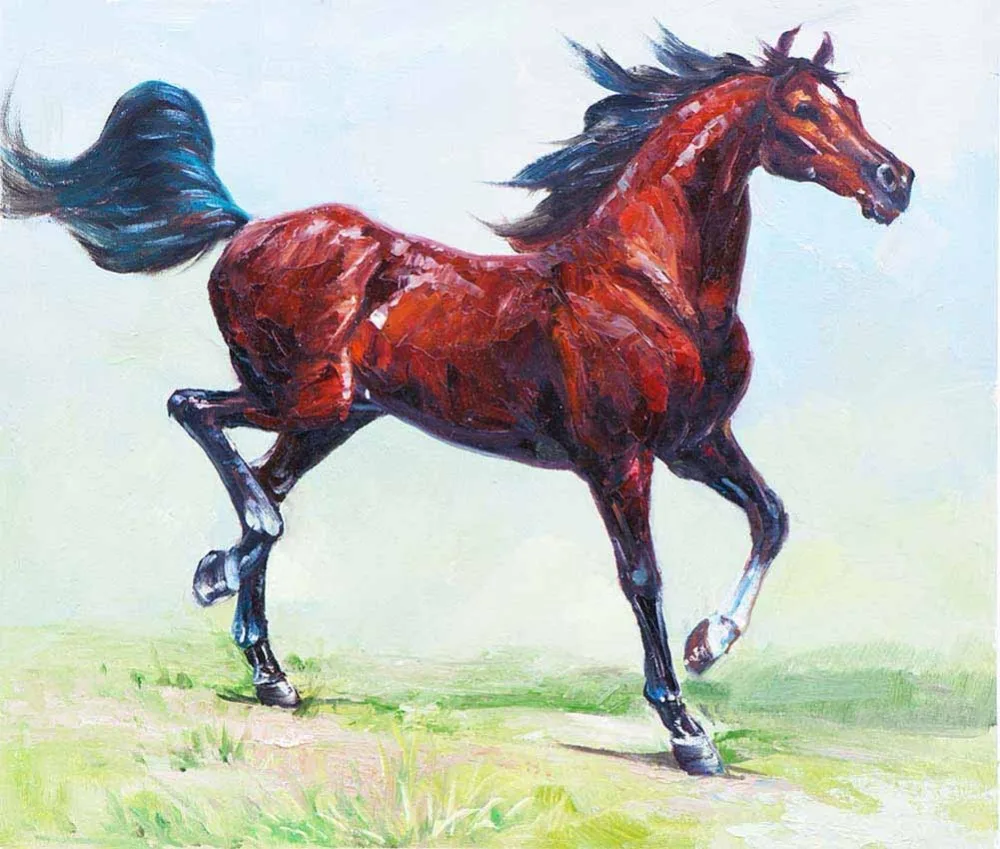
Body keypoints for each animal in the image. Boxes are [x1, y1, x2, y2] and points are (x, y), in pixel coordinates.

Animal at [0, 25, 912, 776]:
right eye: (803, 106)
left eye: (852, 103)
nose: (895, 179)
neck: (654, 286)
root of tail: (245, 225)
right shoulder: (620, 460)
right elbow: (643, 577)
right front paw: (687, 730)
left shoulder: (697, 442)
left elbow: (772, 517)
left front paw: (708, 646)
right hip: (306, 396)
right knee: (199, 416)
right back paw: (226, 569)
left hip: (331, 417)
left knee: (262, 481)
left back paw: (267, 665)